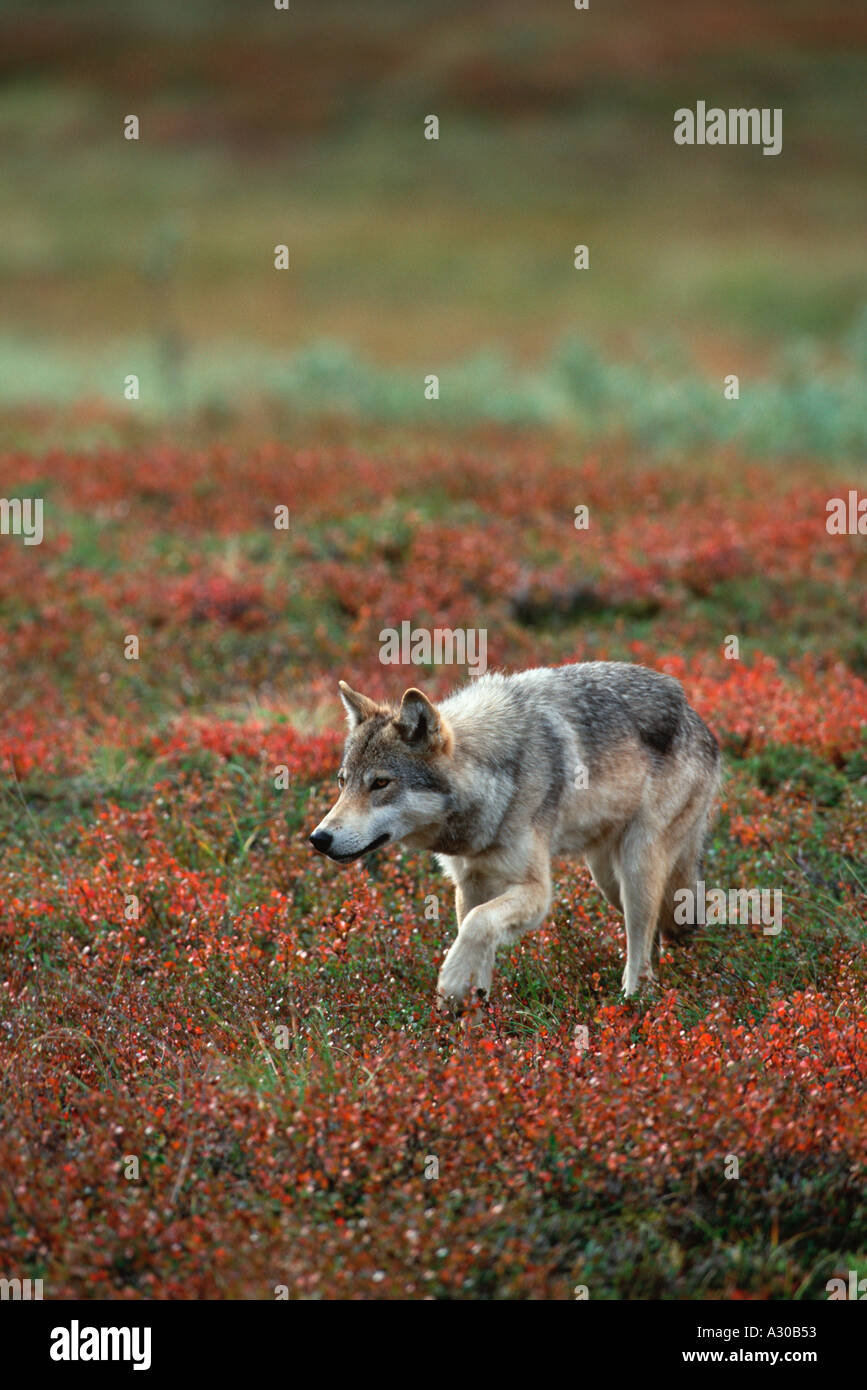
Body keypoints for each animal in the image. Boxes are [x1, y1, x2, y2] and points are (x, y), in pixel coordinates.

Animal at [309, 663, 721, 1010]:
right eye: (343, 783)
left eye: (380, 783)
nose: (319, 838)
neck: (492, 777)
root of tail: (695, 715)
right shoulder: (469, 886)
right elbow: (476, 937)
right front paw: (471, 1020)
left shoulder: (537, 892)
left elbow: (476, 926)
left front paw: (452, 985)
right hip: (606, 878)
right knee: (656, 938)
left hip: (635, 869)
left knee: (641, 944)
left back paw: (634, 1004)